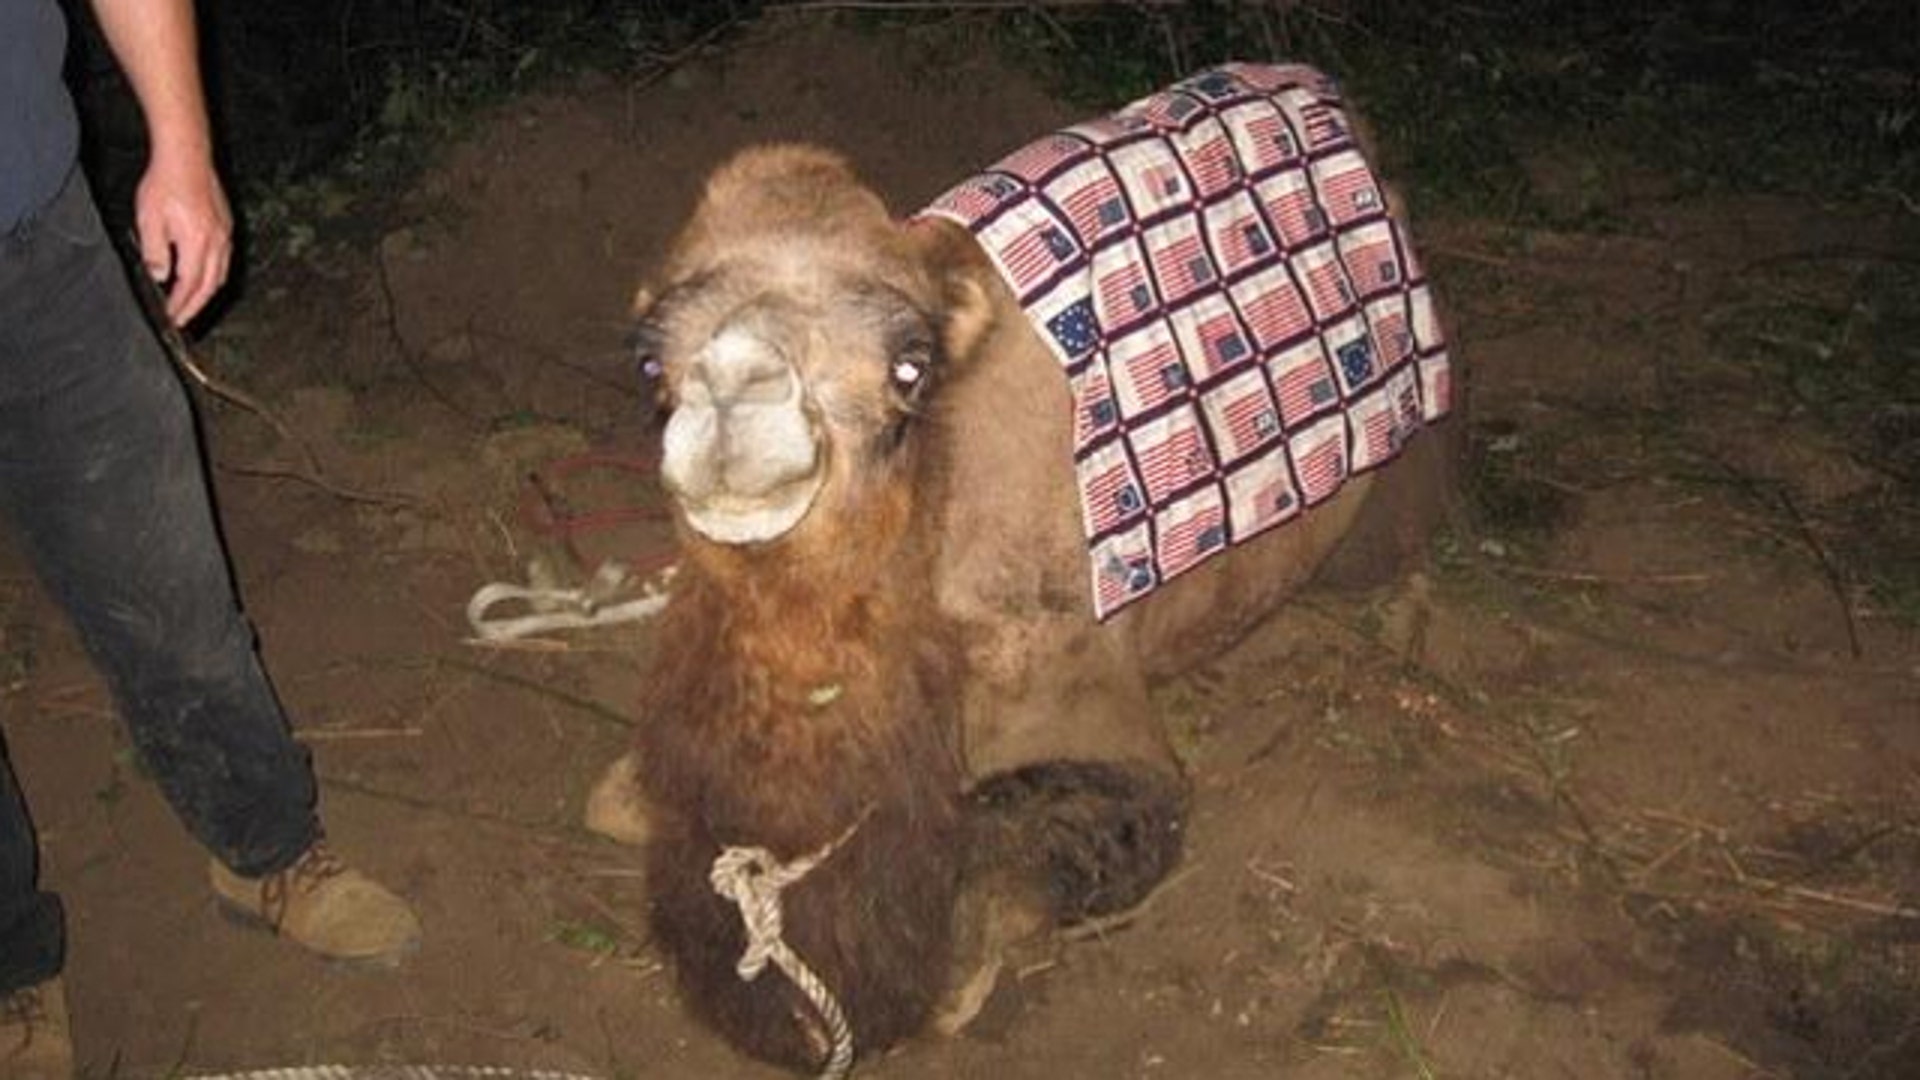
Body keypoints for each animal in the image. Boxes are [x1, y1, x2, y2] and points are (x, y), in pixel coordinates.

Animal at [595, 71, 1461, 1076]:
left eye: (910, 367)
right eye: (647, 361)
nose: (739, 390)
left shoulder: (1070, 676)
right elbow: (613, 802)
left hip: (1400, 464)